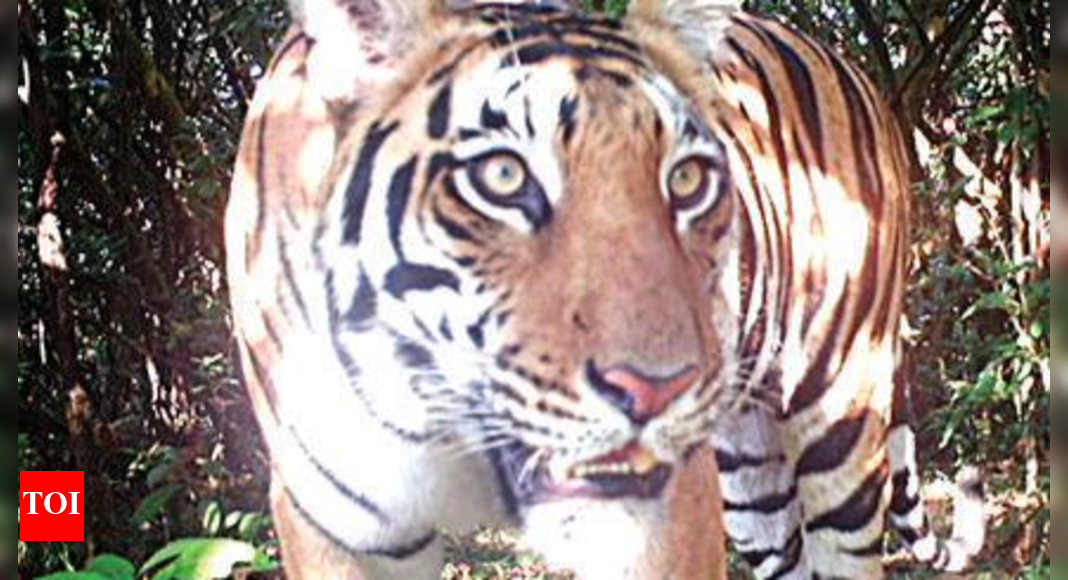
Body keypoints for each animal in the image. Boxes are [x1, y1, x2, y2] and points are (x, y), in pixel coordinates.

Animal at [224, 0, 984, 578]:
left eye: (687, 179)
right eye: (503, 177)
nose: (658, 388)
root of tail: (846, 62)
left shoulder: (664, 509)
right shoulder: (338, 527)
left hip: (840, 416)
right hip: (751, 469)